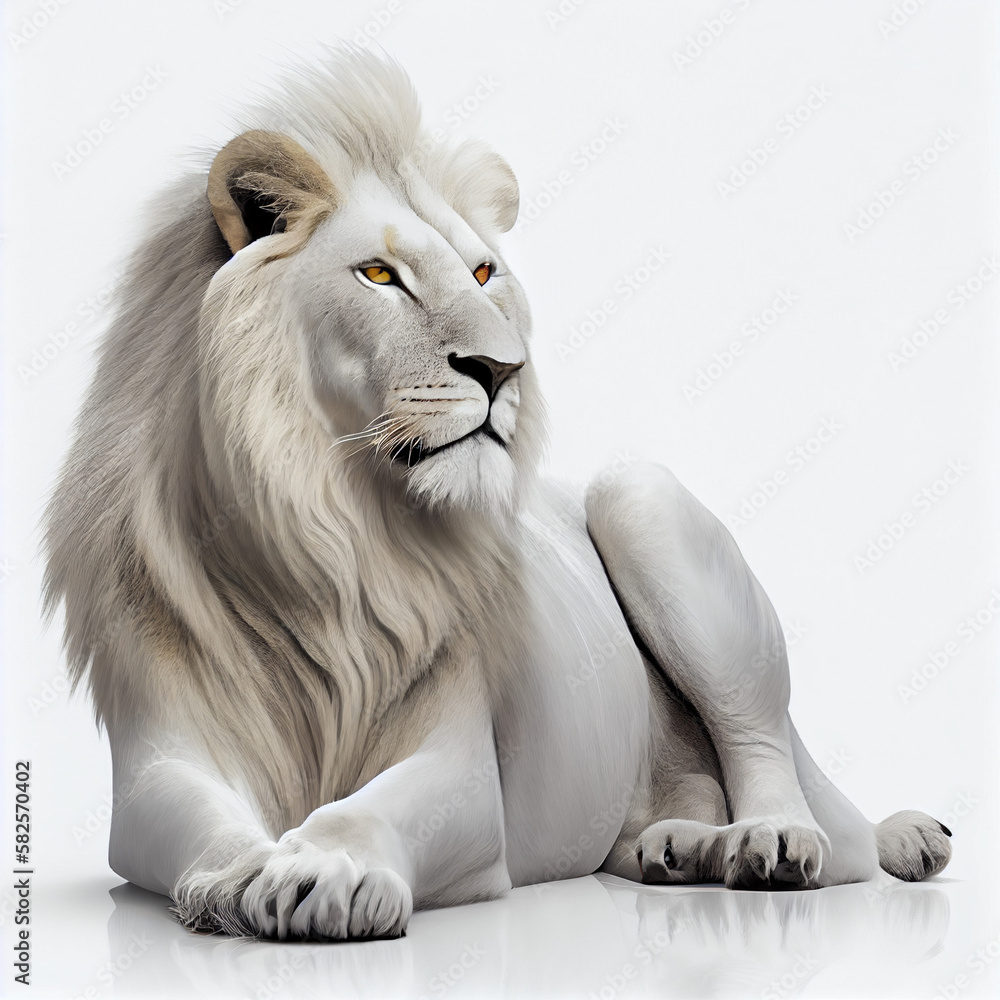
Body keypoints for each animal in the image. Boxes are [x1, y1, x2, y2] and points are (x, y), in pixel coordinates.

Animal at [43, 47, 951, 941]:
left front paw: (324, 873)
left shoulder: (465, 771)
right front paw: (244, 877)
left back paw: (770, 842)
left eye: (483, 272)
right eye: (380, 274)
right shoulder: (159, 756)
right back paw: (684, 847)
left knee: (791, 783)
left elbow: (368, 811)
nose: (500, 368)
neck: (330, 531)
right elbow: (205, 822)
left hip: (641, 500)